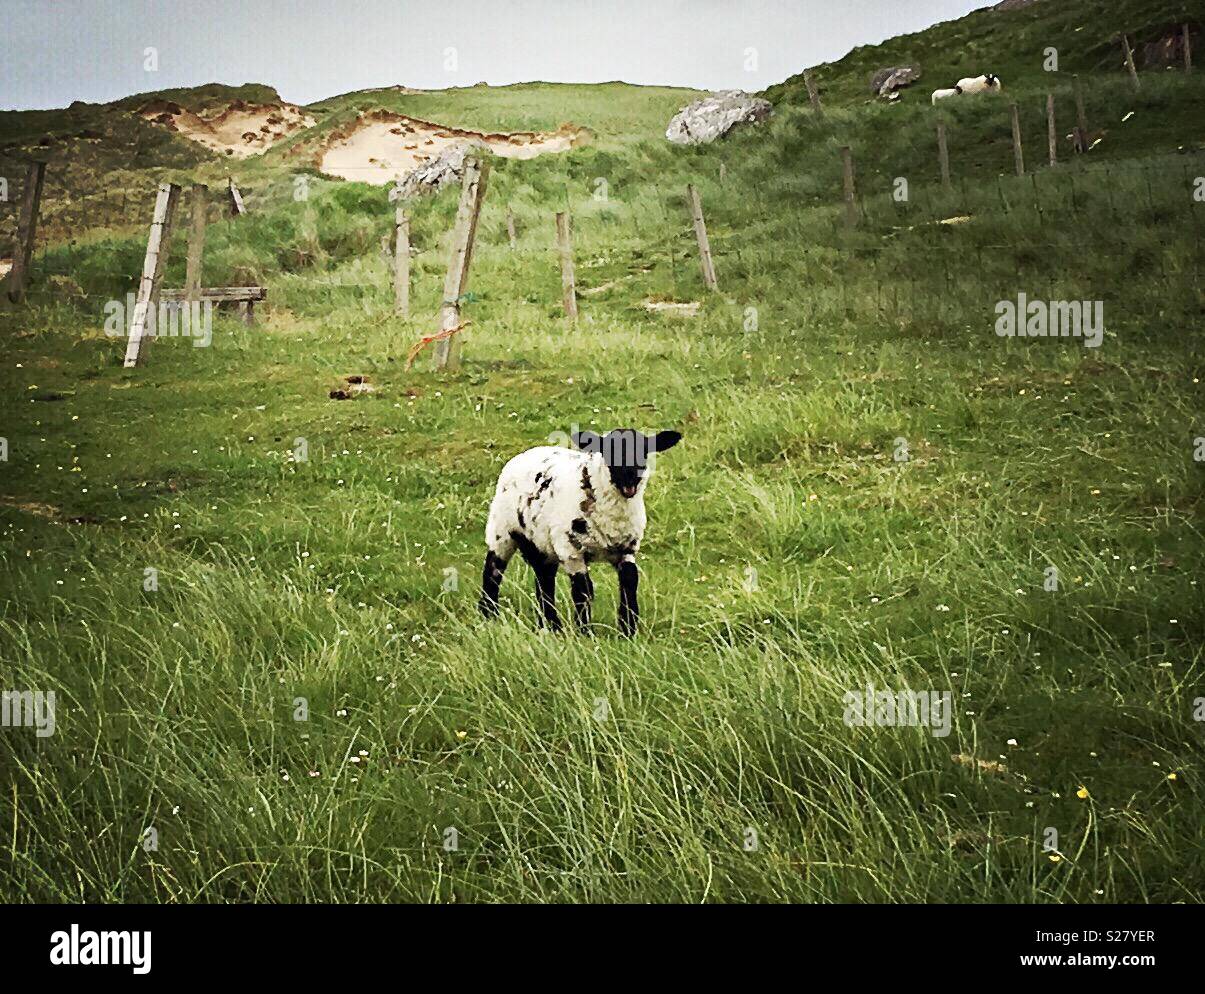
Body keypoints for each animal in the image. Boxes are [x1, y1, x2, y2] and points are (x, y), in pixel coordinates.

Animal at [479, 428, 683, 636]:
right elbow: (583, 590)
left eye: (644, 450)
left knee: (544, 579)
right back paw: (489, 615)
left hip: (542, 542)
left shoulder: (627, 548)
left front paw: (628, 629)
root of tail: (526, 454)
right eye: (608, 450)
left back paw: (551, 625)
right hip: (502, 530)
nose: (629, 475)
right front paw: (585, 631)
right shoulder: (571, 550)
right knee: (493, 571)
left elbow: (629, 580)